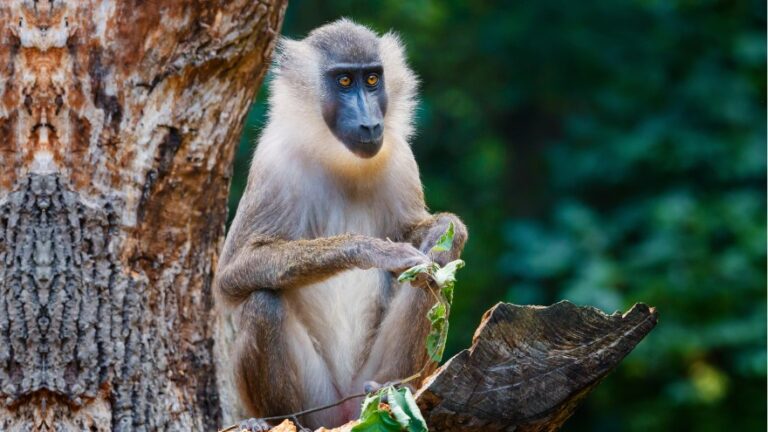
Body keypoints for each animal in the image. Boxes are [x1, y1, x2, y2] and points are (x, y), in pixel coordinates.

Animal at [215, 19, 467, 430]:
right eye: (344, 81)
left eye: (372, 79)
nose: (369, 123)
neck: (339, 159)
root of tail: (343, 411)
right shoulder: (273, 162)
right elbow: (231, 276)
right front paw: (371, 250)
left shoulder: (399, 156)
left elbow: (423, 244)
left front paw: (445, 233)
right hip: (317, 399)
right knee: (263, 301)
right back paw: (279, 420)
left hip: (371, 374)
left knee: (431, 276)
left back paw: (393, 393)